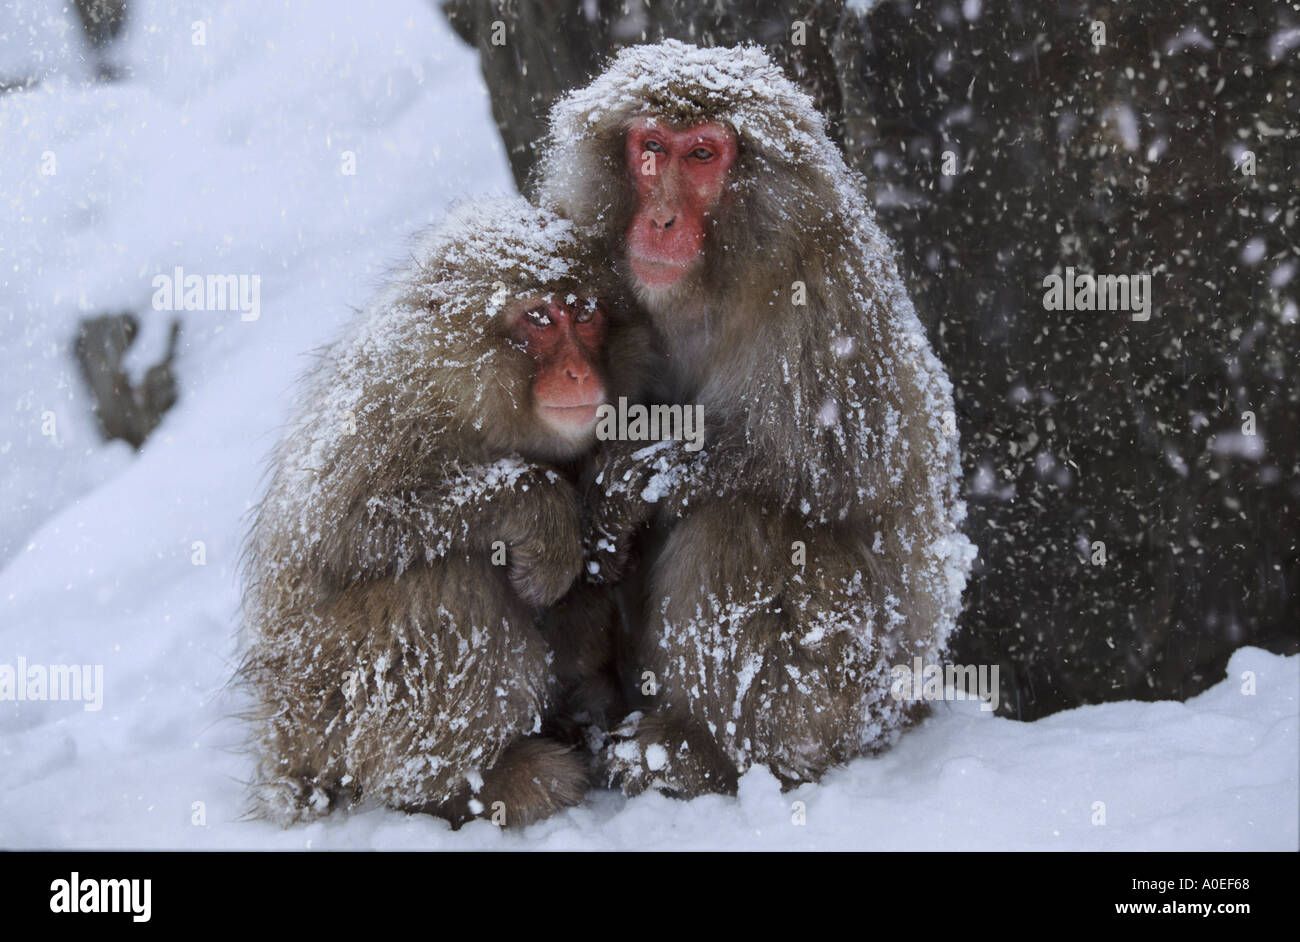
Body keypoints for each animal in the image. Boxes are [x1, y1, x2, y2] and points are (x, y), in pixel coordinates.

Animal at [239, 197, 651, 827]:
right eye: (539, 319)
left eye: (584, 315)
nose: (580, 373)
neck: (469, 396)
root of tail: (278, 746)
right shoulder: (388, 406)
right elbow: (343, 530)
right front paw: (544, 511)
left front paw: (614, 501)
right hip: (326, 710)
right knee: (445, 583)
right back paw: (470, 786)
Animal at [537, 41, 976, 798]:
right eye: (652, 148)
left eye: (702, 154)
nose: (660, 220)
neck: (706, 281)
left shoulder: (829, 293)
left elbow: (840, 468)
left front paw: (642, 473)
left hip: (847, 698)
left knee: (742, 520)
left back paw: (699, 751)